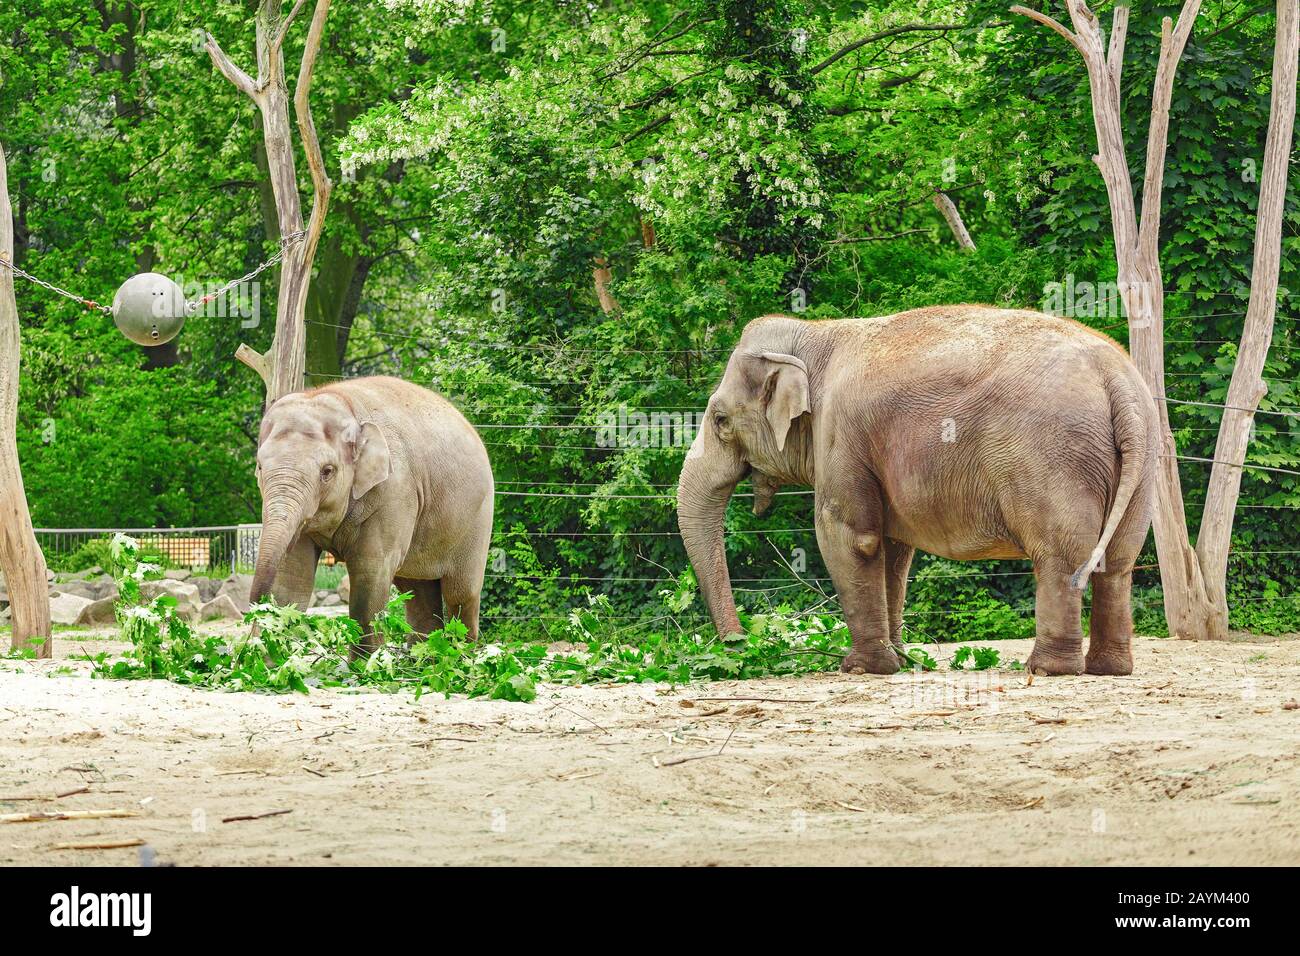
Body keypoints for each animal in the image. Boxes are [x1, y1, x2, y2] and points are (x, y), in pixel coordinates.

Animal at [249, 376, 494, 653]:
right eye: (260, 466)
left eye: (327, 471)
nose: (256, 604)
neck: (341, 402)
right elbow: (291, 581)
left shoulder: (395, 492)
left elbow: (370, 577)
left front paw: (365, 664)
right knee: (417, 593)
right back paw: (427, 657)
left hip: (478, 518)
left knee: (461, 593)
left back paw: (461, 656)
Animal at [677, 307, 1158, 677]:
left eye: (719, 420)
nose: (738, 645)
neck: (815, 333)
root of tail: (1116, 378)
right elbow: (893, 551)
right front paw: (899, 661)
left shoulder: (840, 434)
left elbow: (850, 537)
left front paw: (860, 668)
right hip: (1142, 457)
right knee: (1118, 562)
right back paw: (1109, 669)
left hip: (1053, 458)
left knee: (1061, 557)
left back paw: (1046, 670)